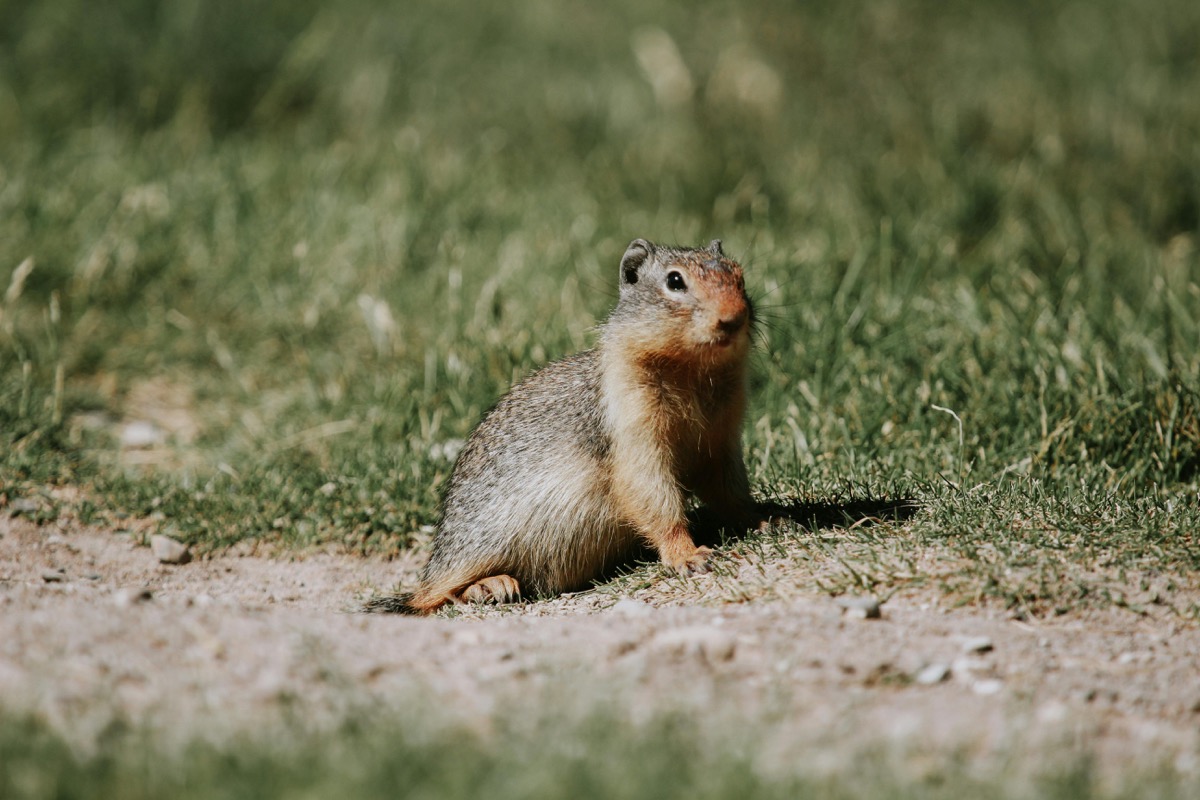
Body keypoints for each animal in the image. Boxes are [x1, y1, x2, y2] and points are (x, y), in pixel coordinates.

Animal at [370, 238, 762, 614]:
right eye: (675, 281)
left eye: (740, 276)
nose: (733, 318)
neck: (693, 372)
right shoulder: (632, 428)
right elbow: (650, 493)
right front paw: (689, 555)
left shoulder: (721, 438)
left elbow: (728, 487)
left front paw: (764, 517)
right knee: (432, 597)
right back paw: (490, 586)